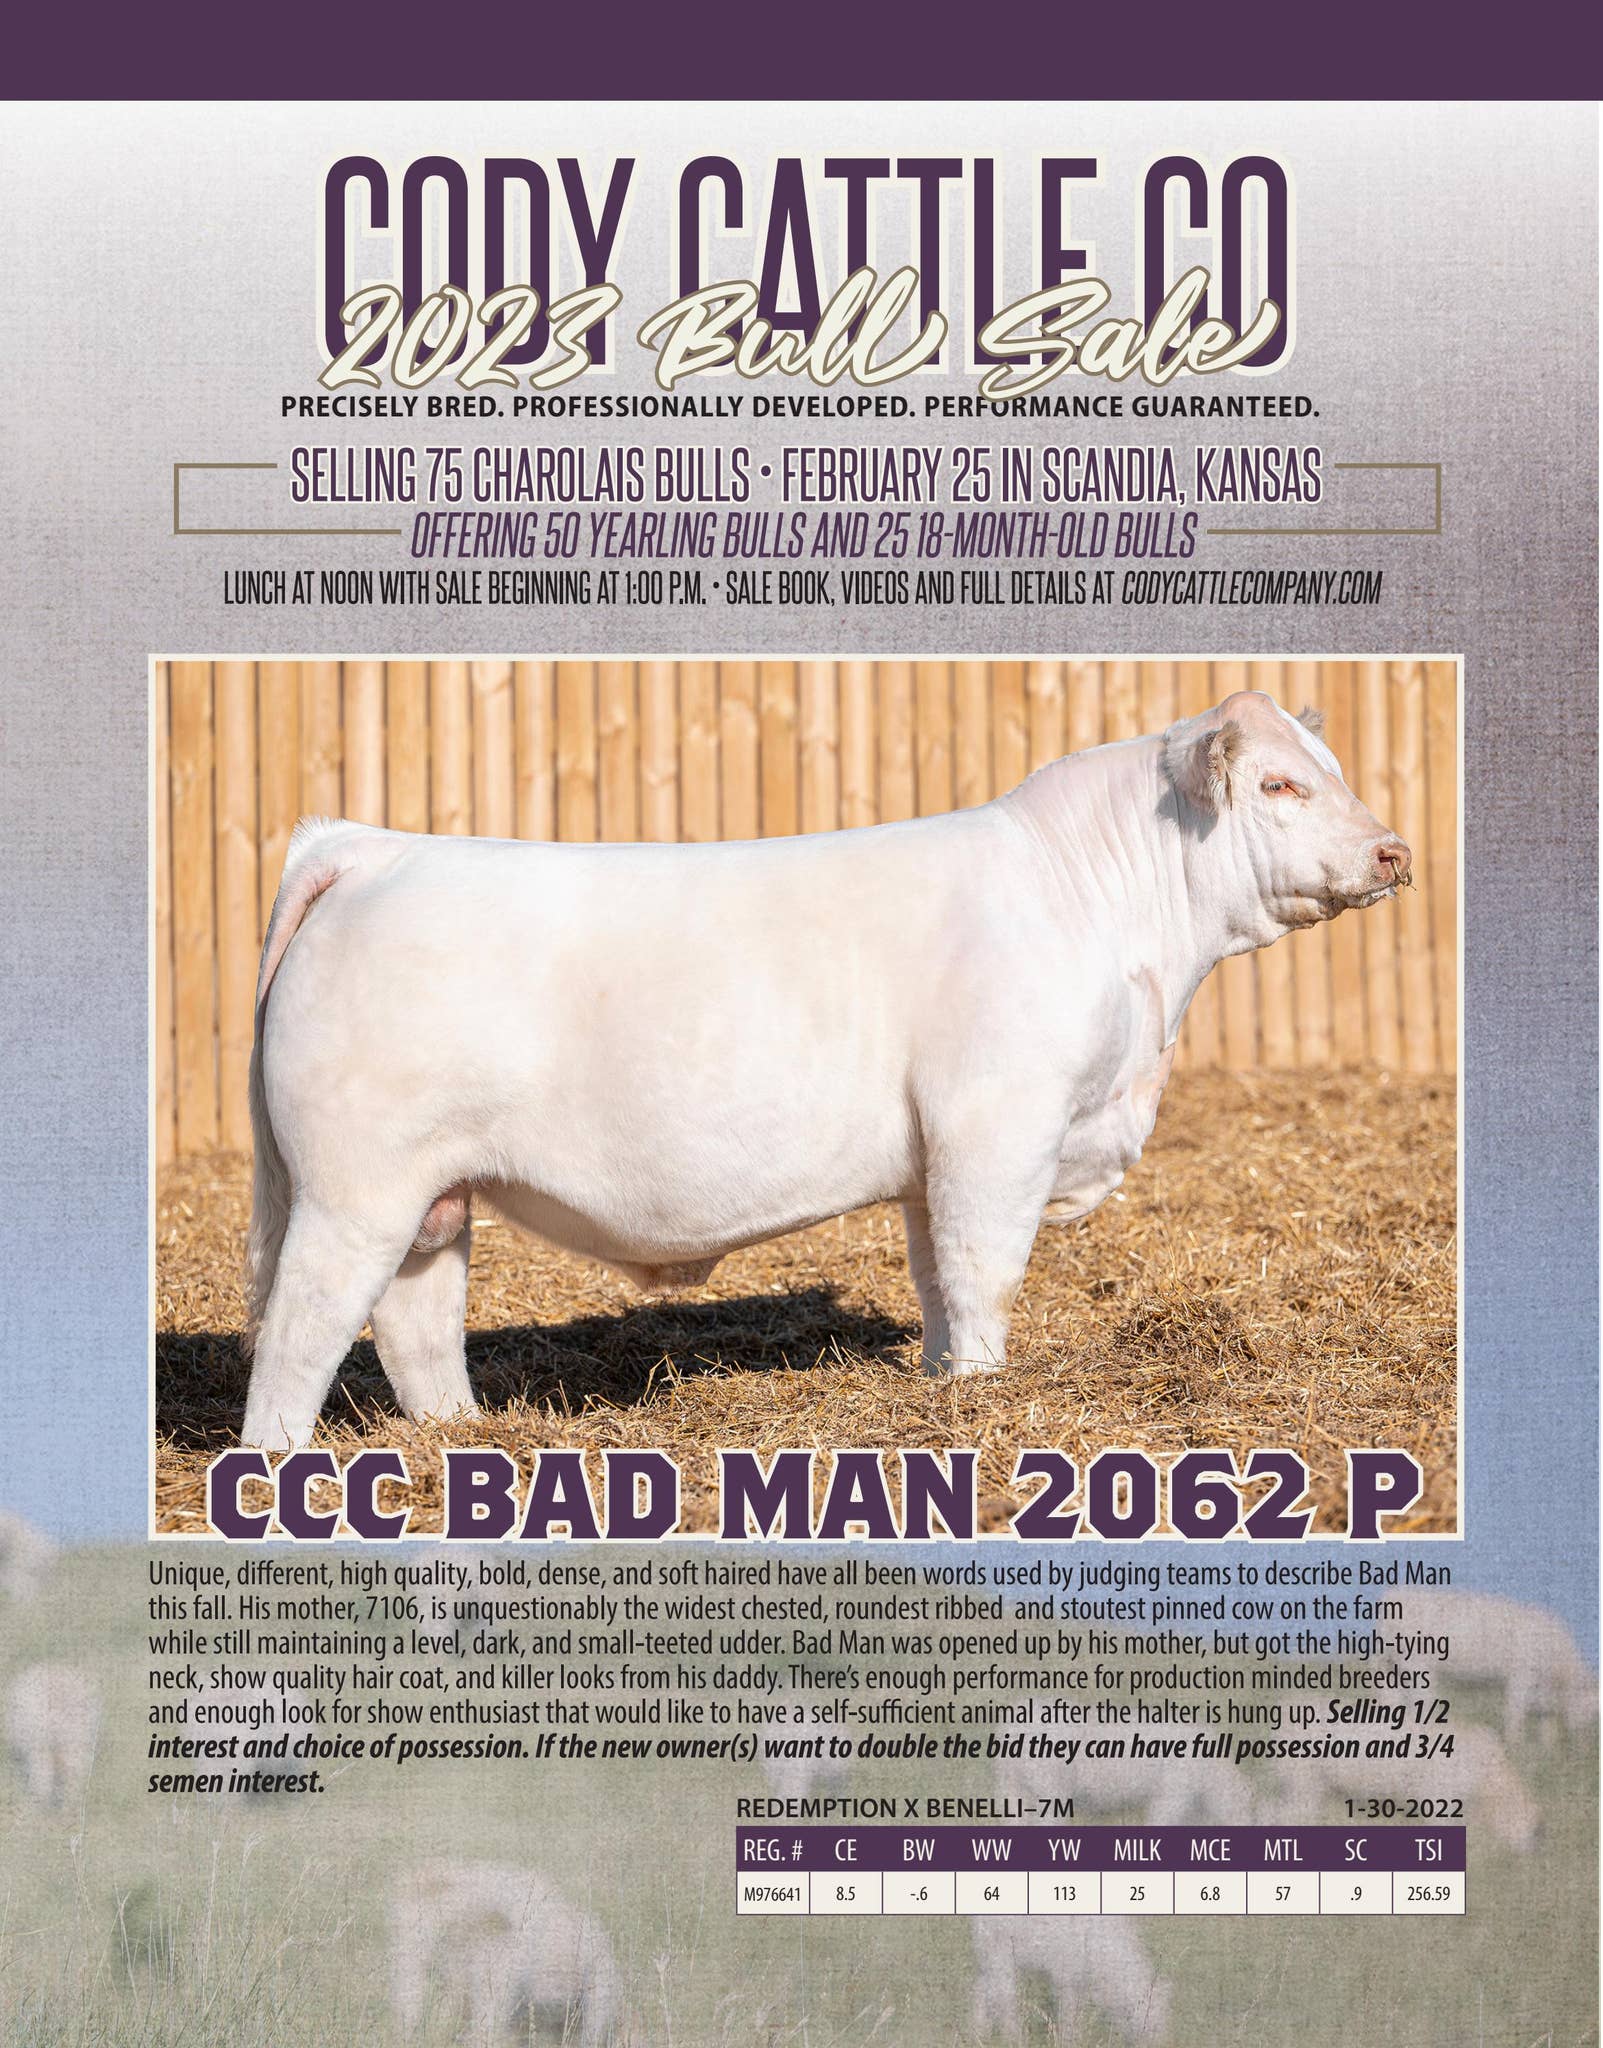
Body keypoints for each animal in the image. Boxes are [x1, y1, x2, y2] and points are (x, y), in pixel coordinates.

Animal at [238, 689, 1410, 1449]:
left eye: (1334, 774)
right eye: (1277, 783)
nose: (1393, 850)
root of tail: (374, 847)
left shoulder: (934, 1157)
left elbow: (936, 1275)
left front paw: (946, 1382)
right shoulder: (997, 1125)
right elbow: (985, 1269)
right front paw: (983, 1389)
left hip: (432, 1195)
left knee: (416, 1323)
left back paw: (462, 1435)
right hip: (353, 1190)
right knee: (301, 1332)